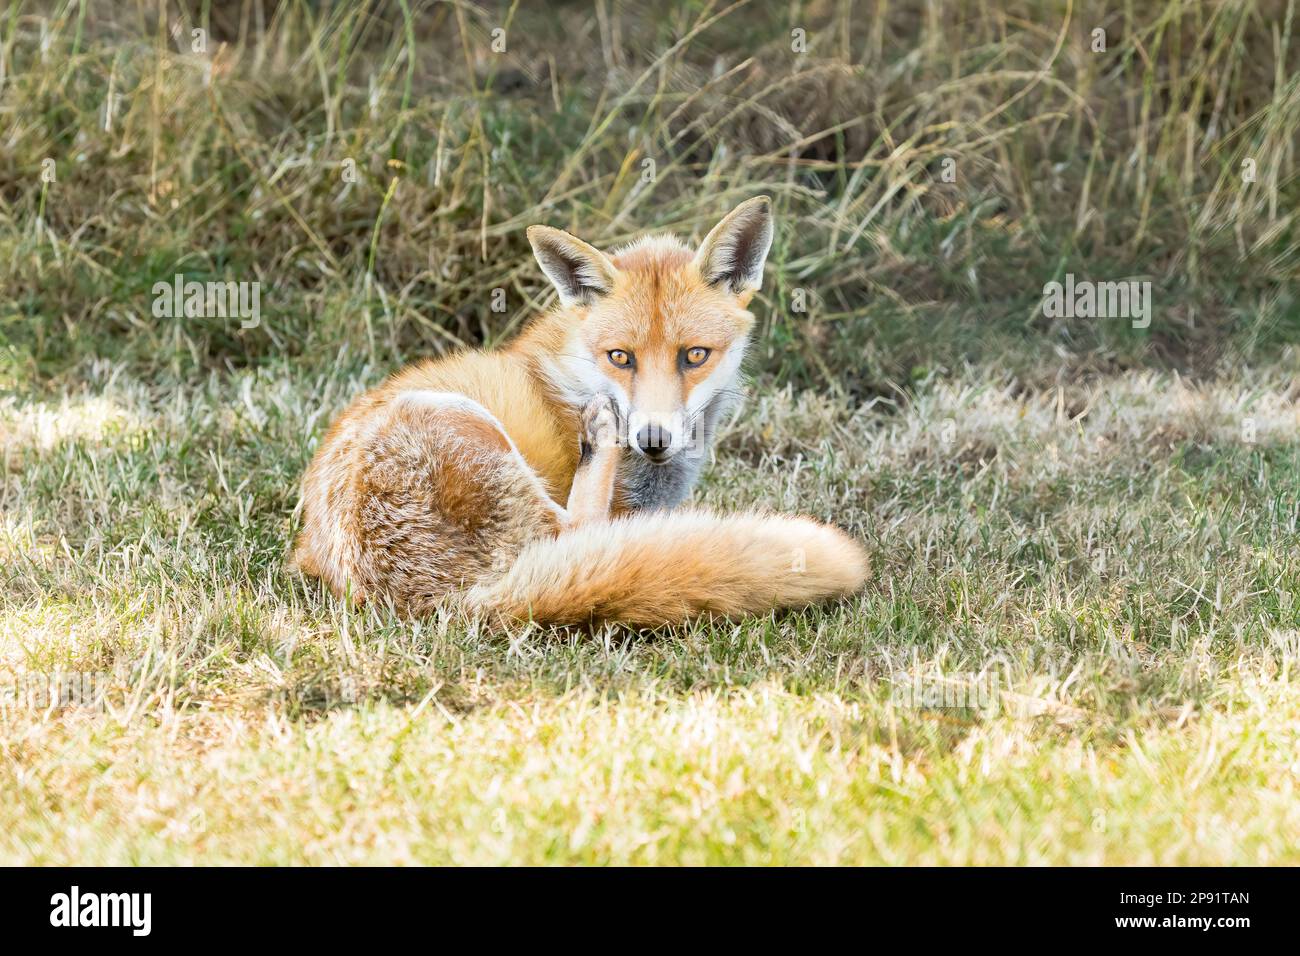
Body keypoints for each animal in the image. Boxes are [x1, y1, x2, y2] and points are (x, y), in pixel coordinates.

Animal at [292, 196, 868, 626]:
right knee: (572, 531)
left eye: (694, 356)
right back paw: (598, 438)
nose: (652, 440)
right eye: (620, 357)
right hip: (459, 422)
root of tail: (436, 602)